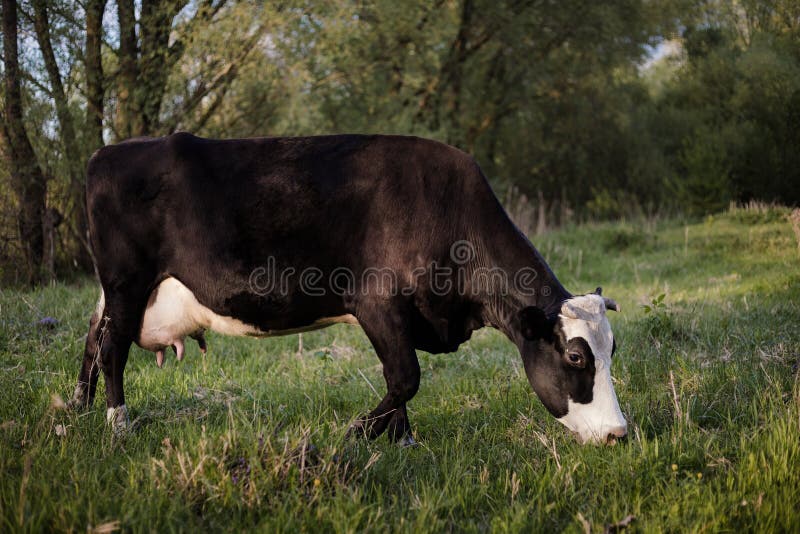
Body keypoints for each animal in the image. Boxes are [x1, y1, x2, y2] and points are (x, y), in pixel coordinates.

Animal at [69, 133, 627, 445]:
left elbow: (400, 384)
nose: (619, 434)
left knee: (92, 342)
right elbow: (405, 378)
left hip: (114, 291)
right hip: (127, 281)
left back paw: (75, 413)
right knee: (113, 350)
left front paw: (399, 440)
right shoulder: (378, 304)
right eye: (576, 358)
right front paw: (358, 431)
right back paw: (118, 424)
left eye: (612, 351)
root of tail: (107, 152)